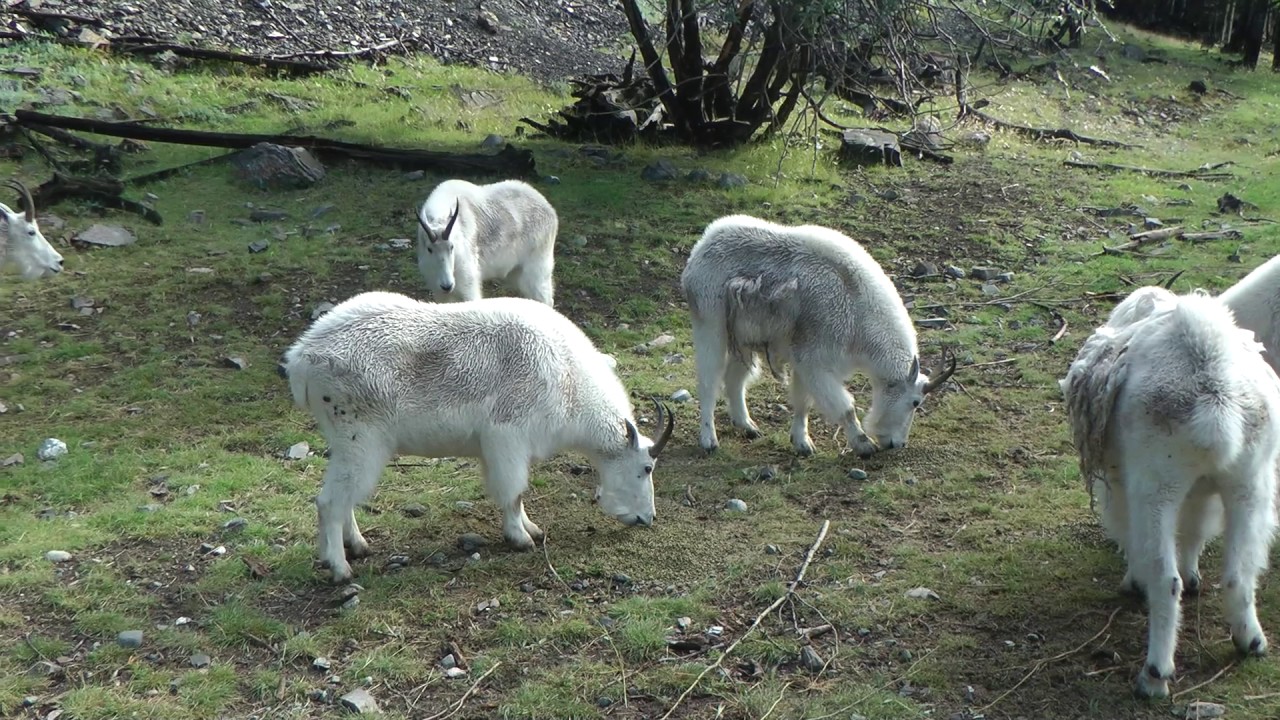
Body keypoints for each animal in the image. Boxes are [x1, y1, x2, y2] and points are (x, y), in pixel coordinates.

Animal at [282, 291, 674, 583]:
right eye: (647, 468)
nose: (648, 518)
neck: (570, 383)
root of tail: (302, 358)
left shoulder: (500, 449)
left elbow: (514, 493)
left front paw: (532, 528)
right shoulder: (508, 438)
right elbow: (513, 491)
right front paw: (521, 539)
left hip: (347, 443)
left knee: (343, 497)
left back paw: (359, 546)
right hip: (361, 440)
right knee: (329, 501)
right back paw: (340, 569)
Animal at [416, 179, 558, 306]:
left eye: (452, 247)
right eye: (429, 249)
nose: (447, 286)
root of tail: (550, 211)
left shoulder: (468, 283)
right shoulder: (439, 291)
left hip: (538, 268)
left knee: (546, 299)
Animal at [680, 214, 956, 458]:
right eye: (915, 402)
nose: (897, 444)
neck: (858, 312)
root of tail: (702, 245)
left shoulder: (807, 361)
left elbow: (804, 403)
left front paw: (802, 443)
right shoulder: (816, 361)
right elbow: (845, 407)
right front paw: (863, 445)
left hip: (745, 338)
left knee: (734, 378)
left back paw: (747, 426)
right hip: (710, 323)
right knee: (708, 382)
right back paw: (709, 440)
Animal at [1061, 290, 1280, 698]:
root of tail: (1215, 399)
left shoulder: (1120, 483)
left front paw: (1134, 582)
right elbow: (1195, 530)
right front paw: (1194, 573)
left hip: (1155, 487)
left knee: (1165, 578)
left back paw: (1154, 674)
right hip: (1249, 482)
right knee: (1239, 572)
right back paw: (1251, 641)